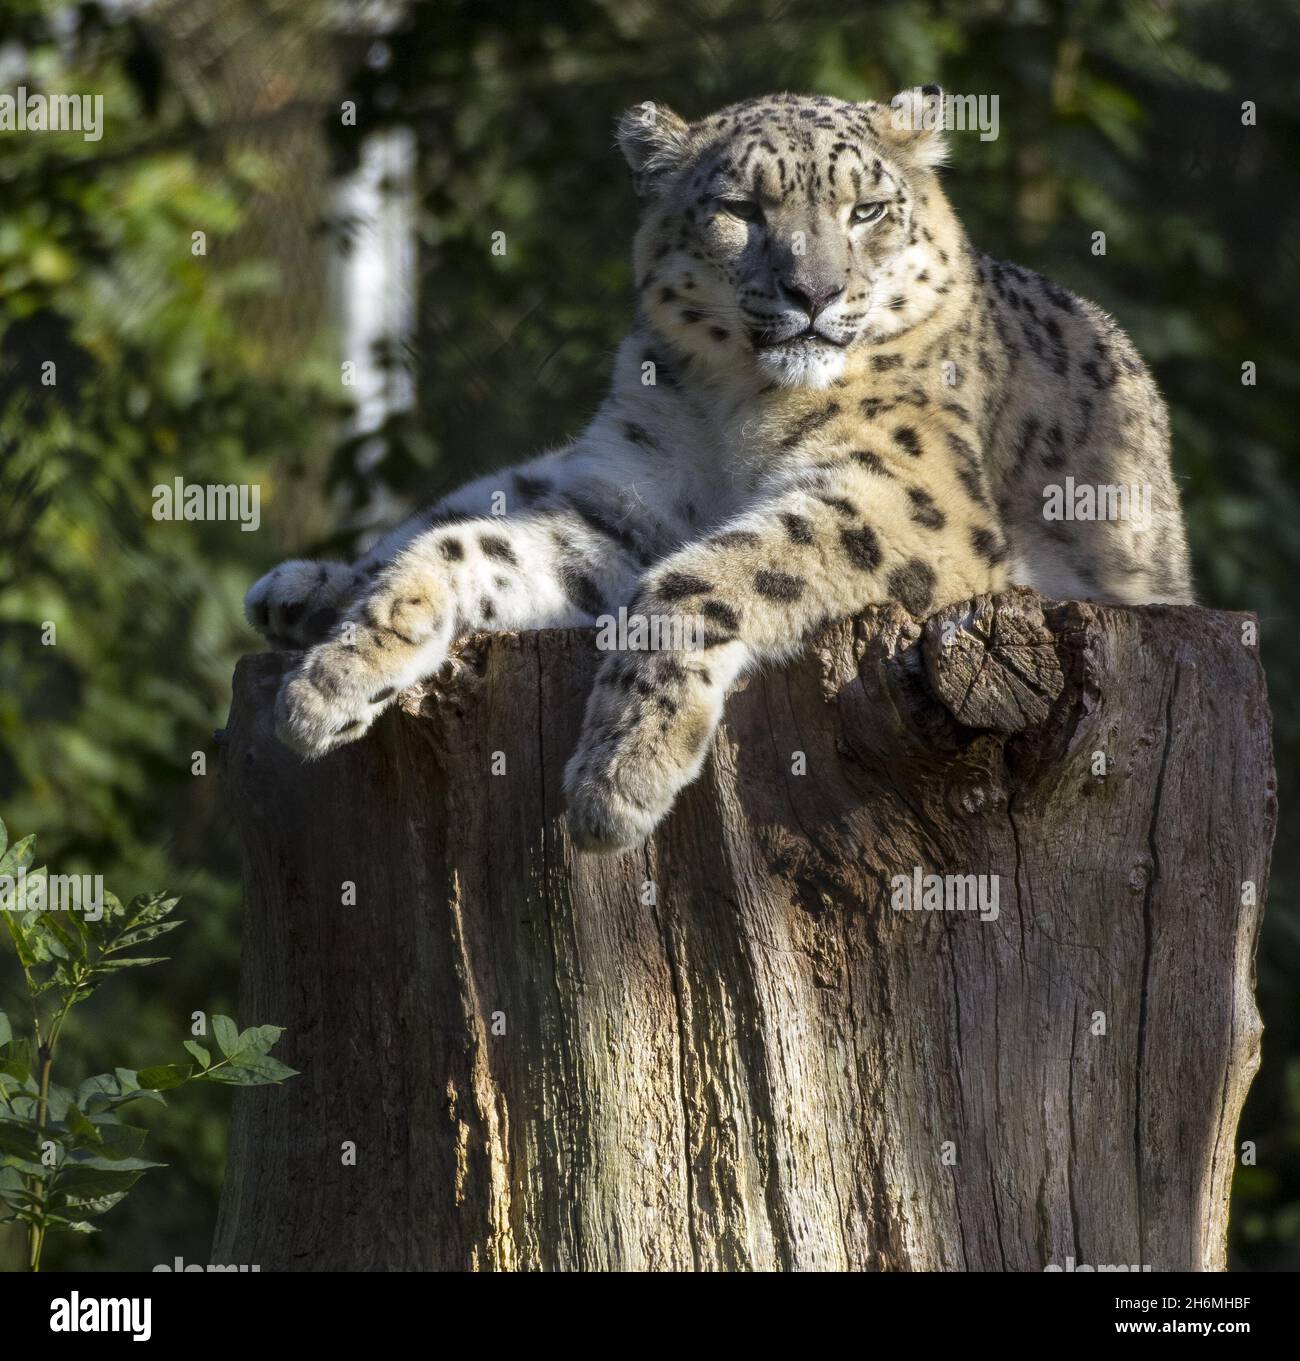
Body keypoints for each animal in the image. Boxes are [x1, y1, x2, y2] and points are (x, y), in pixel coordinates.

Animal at [245, 87, 1193, 854]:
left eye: (868, 209)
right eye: (741, 207)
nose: (814, 291)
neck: (737, 403)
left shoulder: (902, 499)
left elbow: (707, 573)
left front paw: (619, 775)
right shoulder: (629, 509)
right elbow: (471, 551)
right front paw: (333, 683)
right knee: (437, 522)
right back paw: (307, 597)